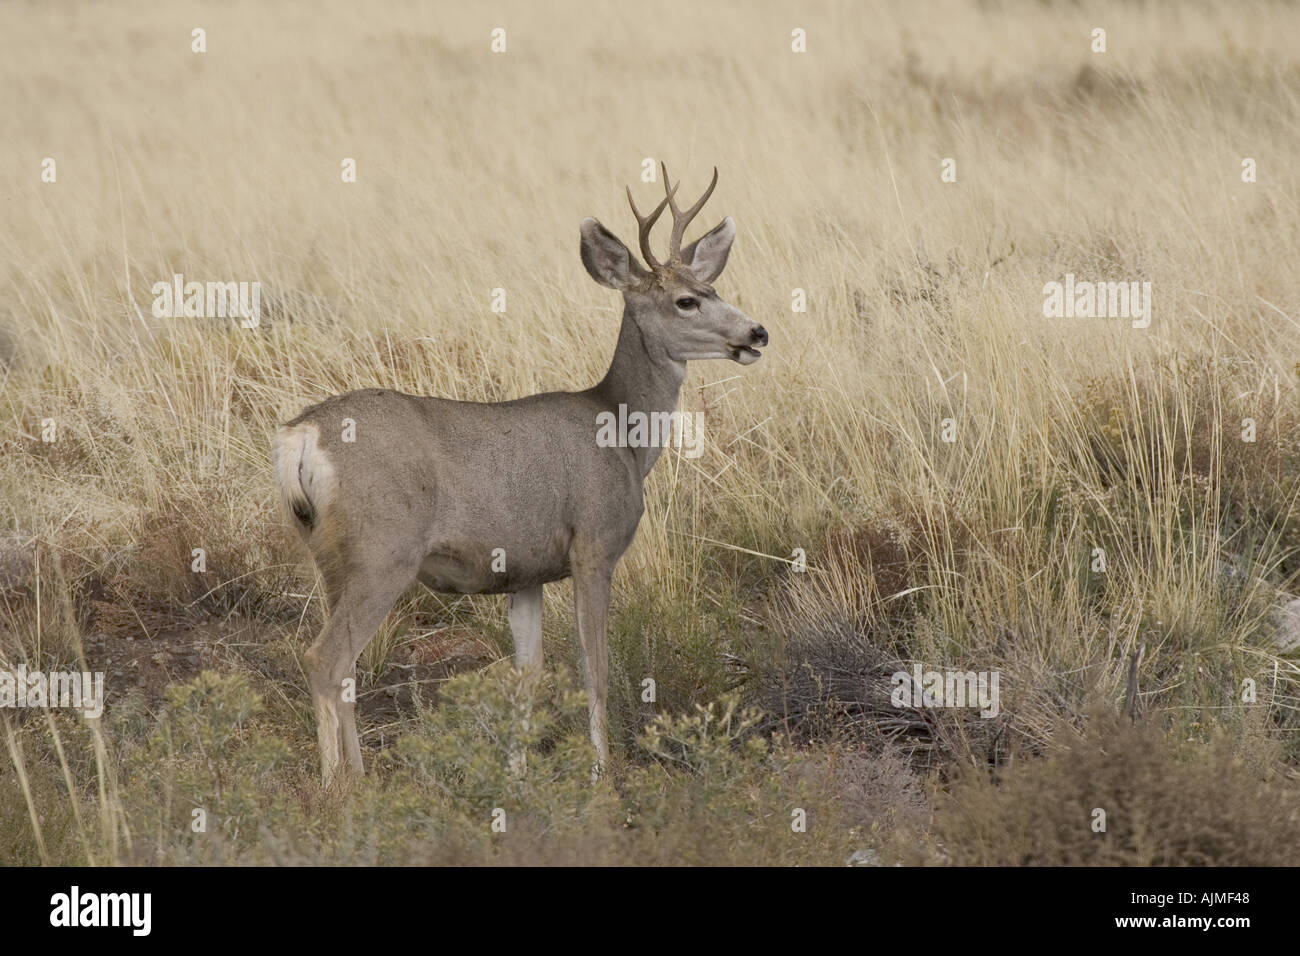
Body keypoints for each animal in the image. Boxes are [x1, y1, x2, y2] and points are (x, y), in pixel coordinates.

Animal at [272, 165, 768, 786]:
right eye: (686, 300)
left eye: (715, 289)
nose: (757, 332)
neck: (623, 437)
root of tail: (300, 437)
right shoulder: (593, 543)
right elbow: (594, 667)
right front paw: (601, 774)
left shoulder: (526, 571)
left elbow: (526, 676)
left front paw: (517, 774)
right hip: (383, 549)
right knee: (326, 658)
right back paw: (339, 786)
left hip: (327, 555)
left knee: (342, 665)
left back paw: (361, 775)